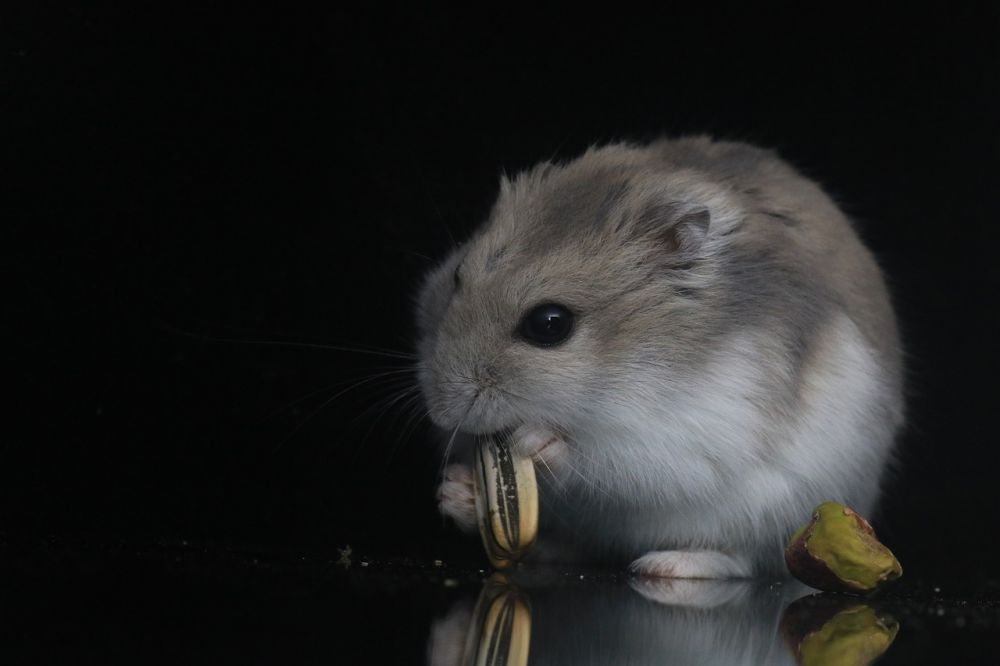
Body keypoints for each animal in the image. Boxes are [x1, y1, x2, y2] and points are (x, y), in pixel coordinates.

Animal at [416, 136, 904, 578]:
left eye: (549, 324)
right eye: (456, 278)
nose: (441, 413)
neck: (623, 363)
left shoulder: (687, 434)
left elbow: (601, 459)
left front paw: (533, 442)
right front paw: (454, 490)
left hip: (775, 513)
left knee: (738, 560)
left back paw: (667, 566)